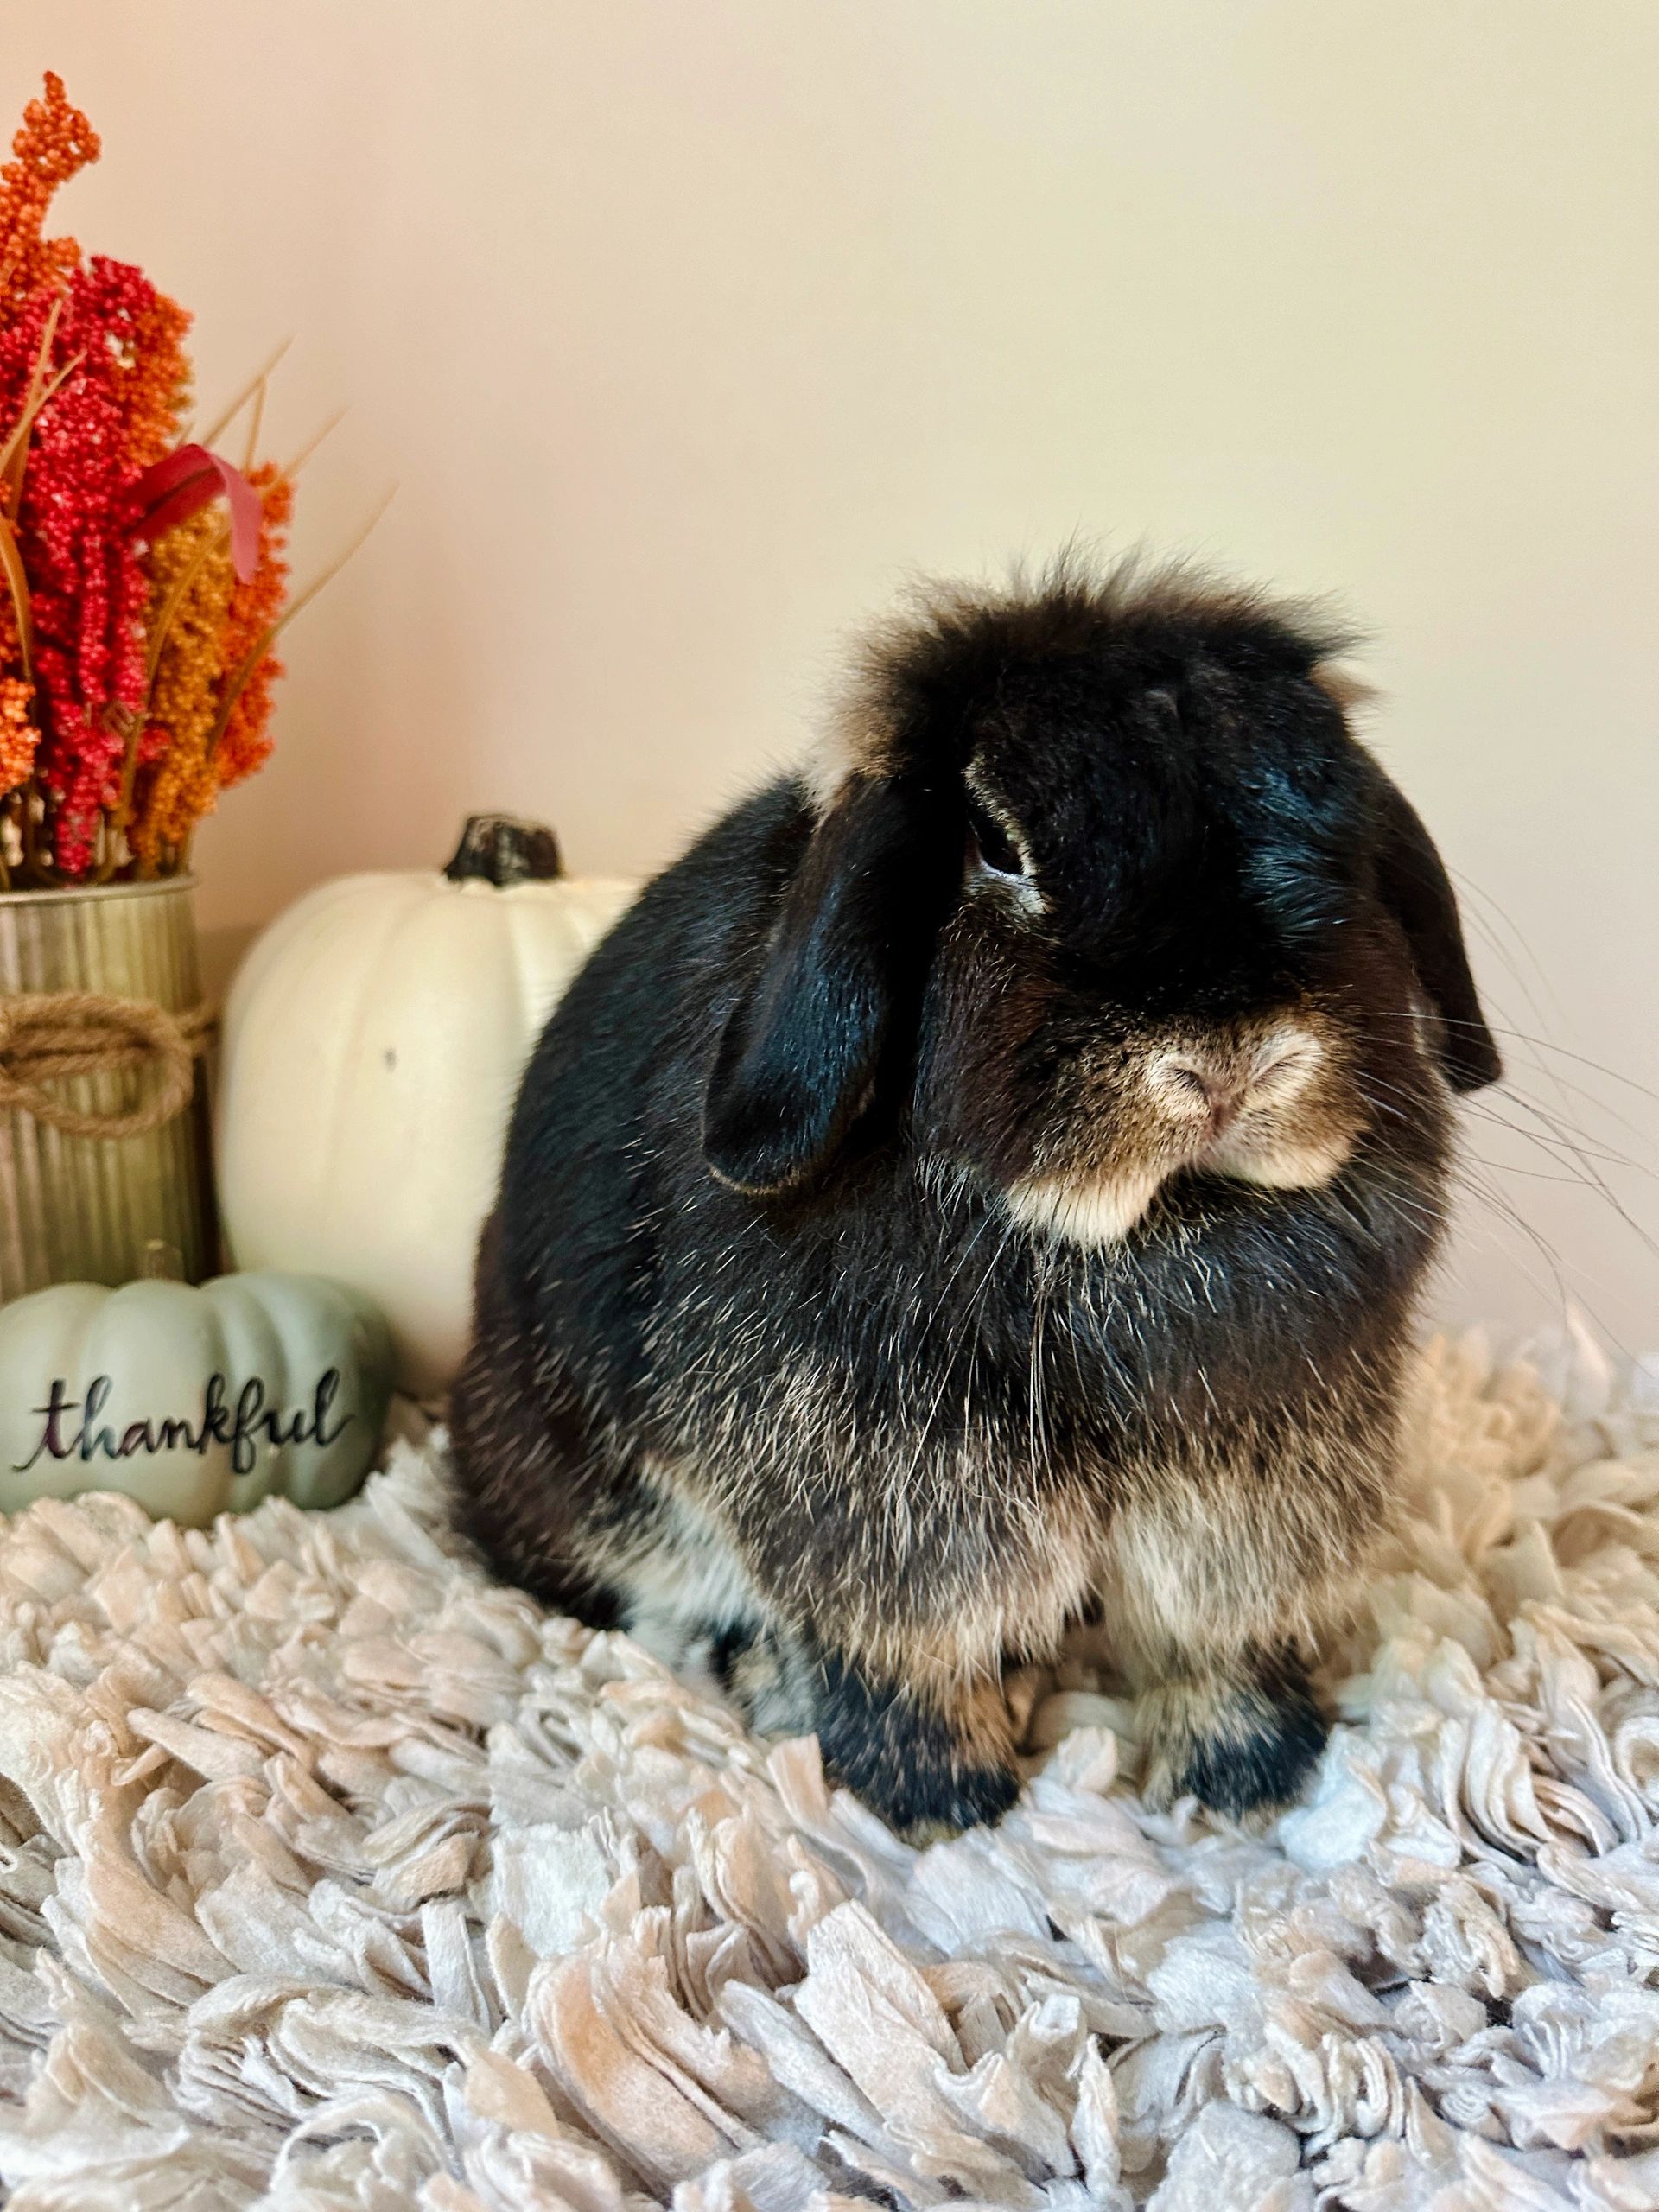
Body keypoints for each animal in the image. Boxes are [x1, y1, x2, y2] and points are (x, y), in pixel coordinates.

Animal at [449, 559, 1499, 1836]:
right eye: (996, 845)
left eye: (1340, 828)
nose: (1227, 1063)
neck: (1144, 1232)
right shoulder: (892, 1505)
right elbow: (909, 1654)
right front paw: (939, 1800)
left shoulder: (1253, 1492)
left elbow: (1217, 1641)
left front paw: (1247, 1778)